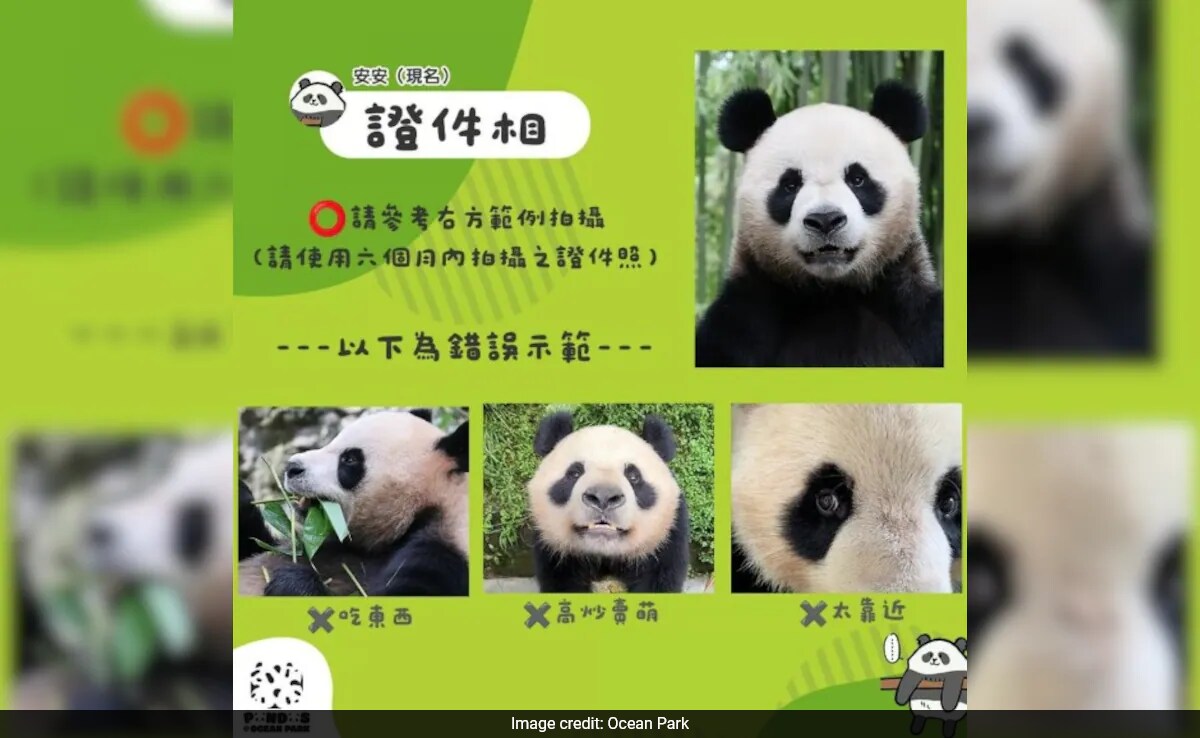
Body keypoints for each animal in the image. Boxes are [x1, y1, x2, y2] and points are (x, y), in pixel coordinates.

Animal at [695, 80, 942, 368]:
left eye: (858, 179)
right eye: (790, 185)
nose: (825, 220)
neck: (833, 291)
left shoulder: (912, 311)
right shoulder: (746, 317)